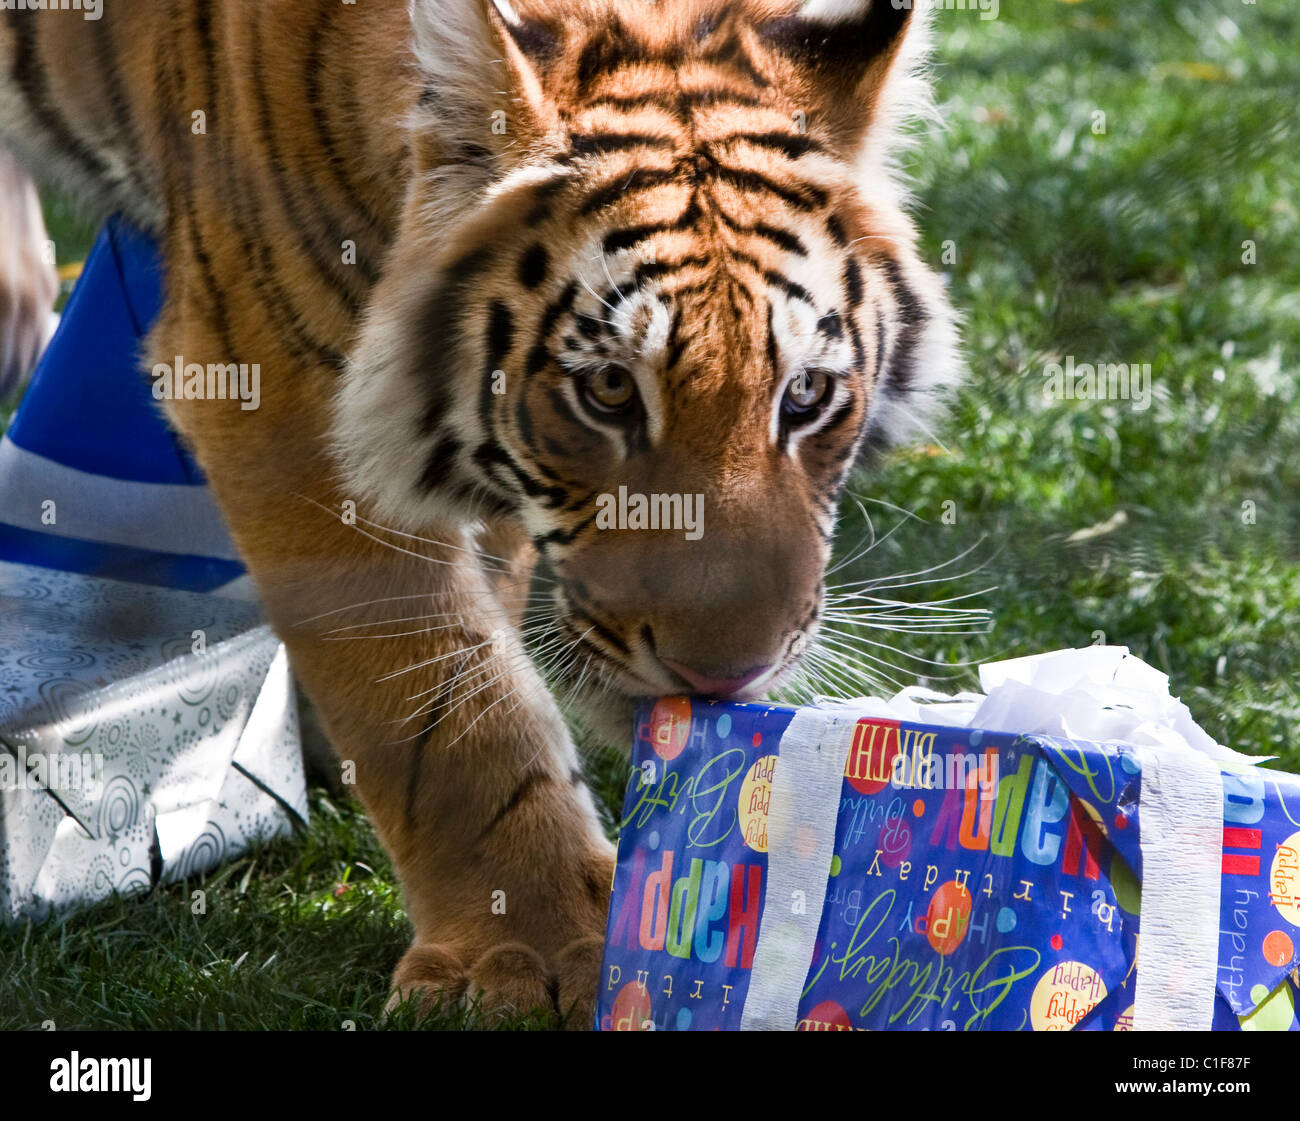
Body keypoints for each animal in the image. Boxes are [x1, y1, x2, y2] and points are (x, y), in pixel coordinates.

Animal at [0, 0, 960, 1026]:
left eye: (807, 394)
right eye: (608, 390)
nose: (725, 672)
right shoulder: (278, 389)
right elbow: (440, 695)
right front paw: (527, 949)